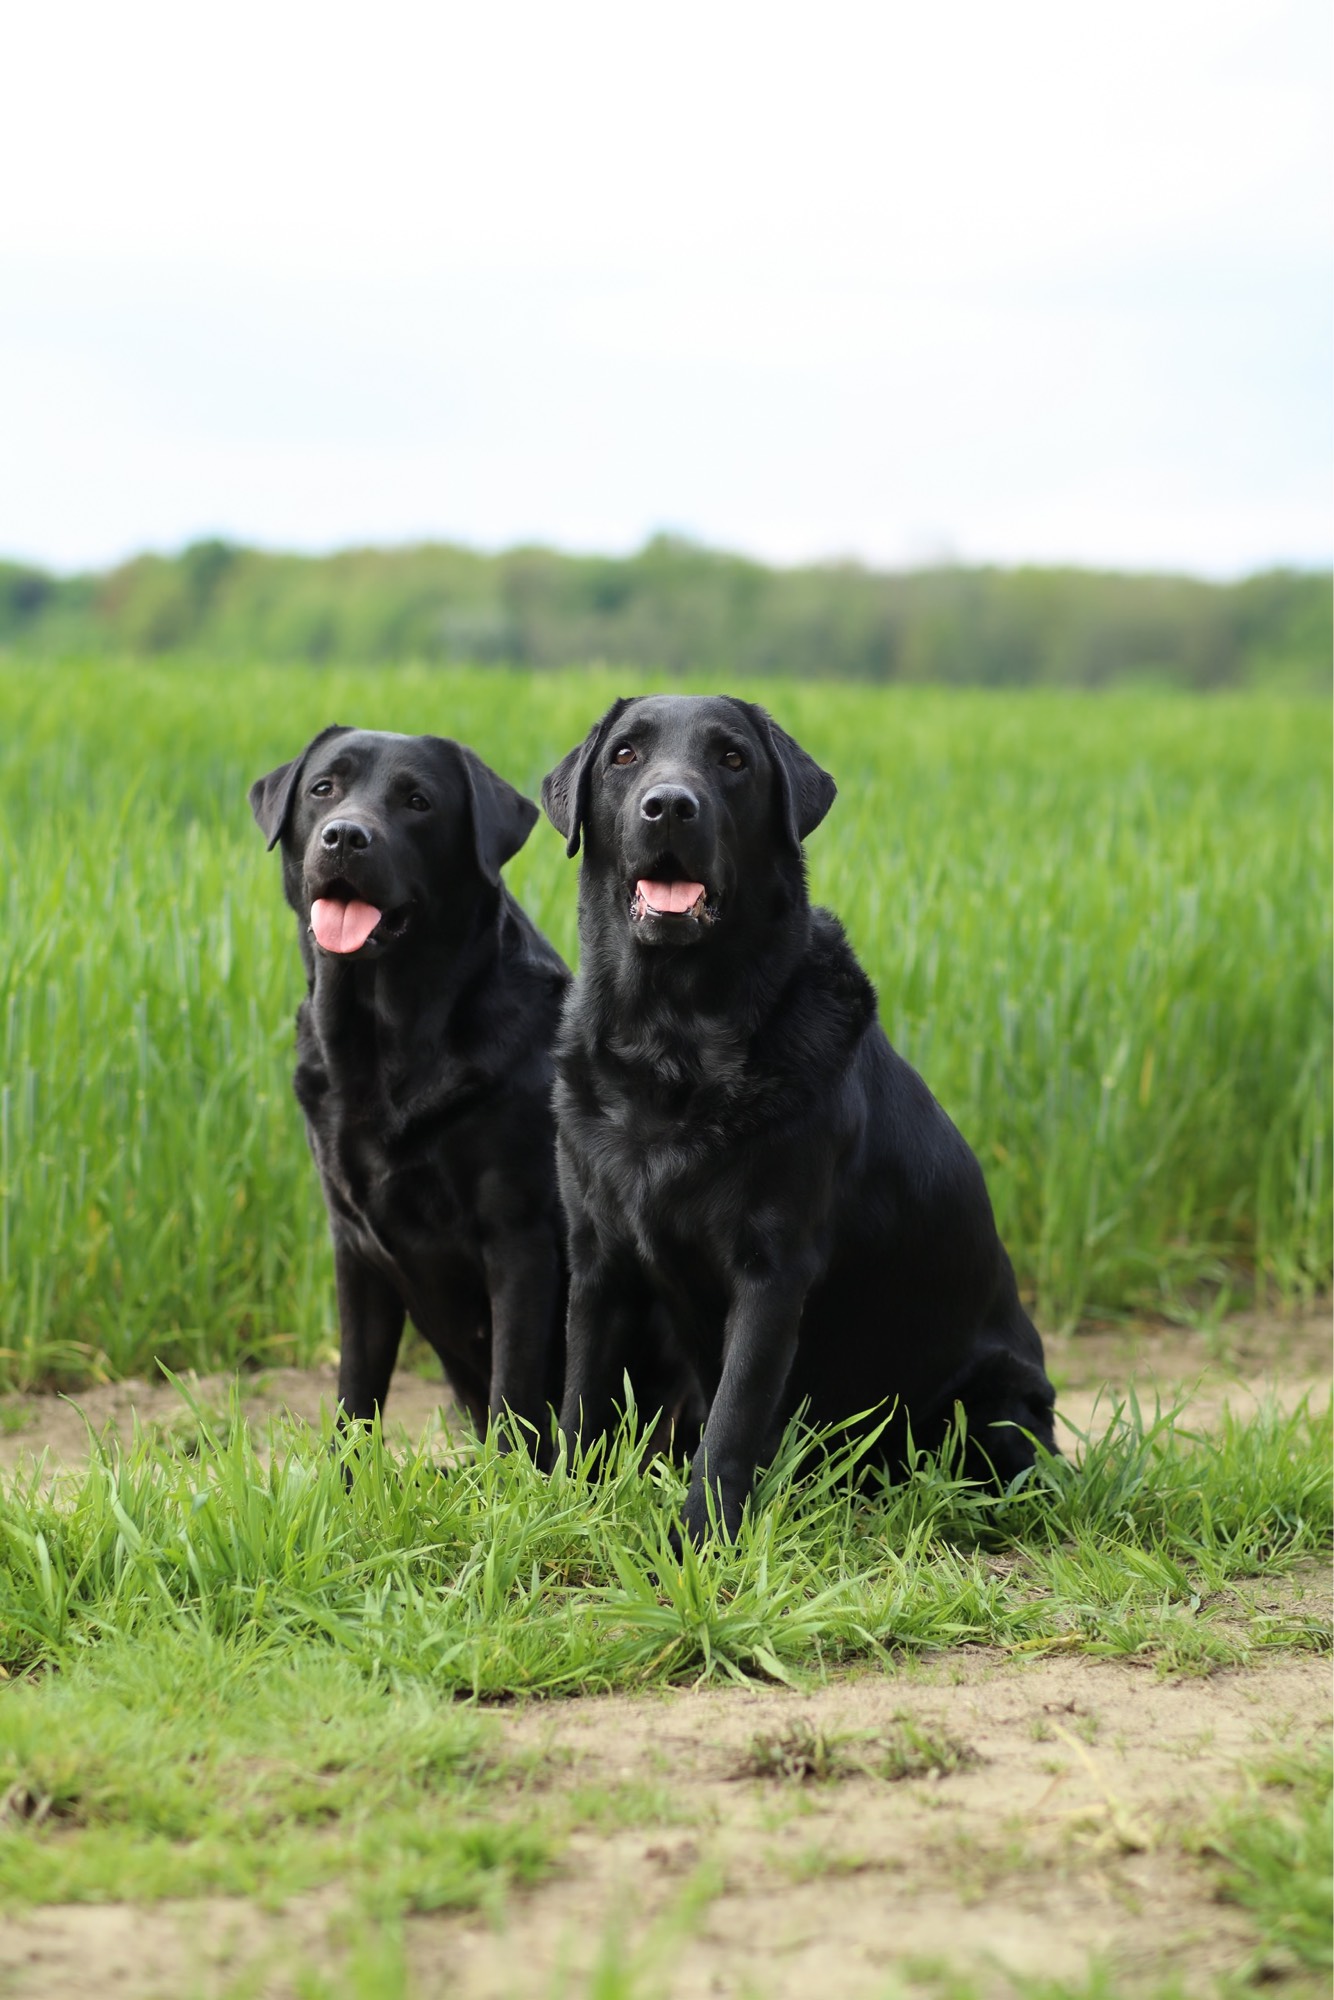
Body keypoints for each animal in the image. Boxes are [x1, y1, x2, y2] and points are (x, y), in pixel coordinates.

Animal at [250, 728, 568, 1448]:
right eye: (323, 789)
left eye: (417, 802)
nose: (345, 836)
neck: (383, 1041)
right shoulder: (355, 1246)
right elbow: (355, 1394)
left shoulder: (522, 1239)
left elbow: (512, 1394)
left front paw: (508, 1485)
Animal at [544, 696, 1056, 1536]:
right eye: (624, 756)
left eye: (733, 759)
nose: (669, 806)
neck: (674, 1038)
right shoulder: (597, 1257)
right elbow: (581, 1401)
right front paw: (559, 1512)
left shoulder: (773, 1267)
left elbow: (733, 1418)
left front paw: (699, 1540)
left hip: (995, 1403)